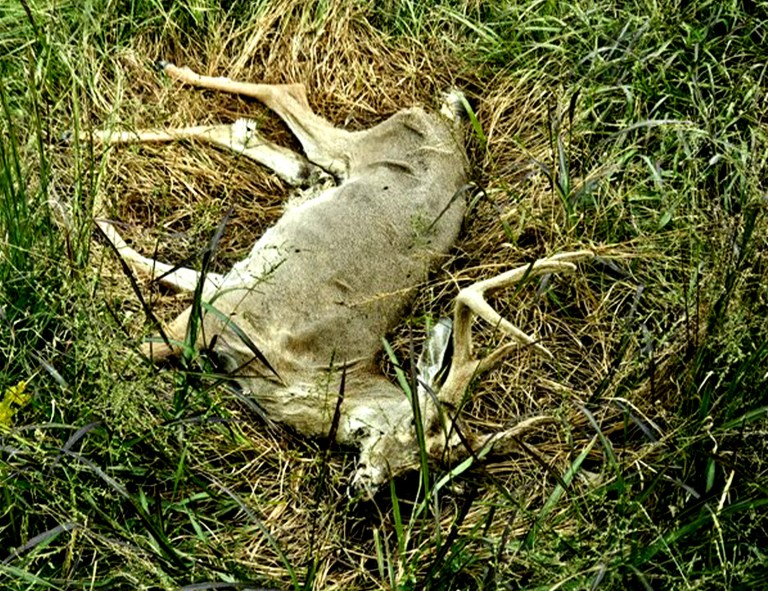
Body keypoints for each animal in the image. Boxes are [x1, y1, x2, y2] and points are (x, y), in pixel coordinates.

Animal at [85, 61, 593, 497]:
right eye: (418, 426)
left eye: (419, 470)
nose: (366, 486)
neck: (308, 372)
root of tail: (446, 123)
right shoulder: (226, 313)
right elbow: (138, 349)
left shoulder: (223, 292)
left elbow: (155, 271)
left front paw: (96, 220)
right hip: (363, 146)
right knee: (286, 93)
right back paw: (106, 122)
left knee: (254, 135)